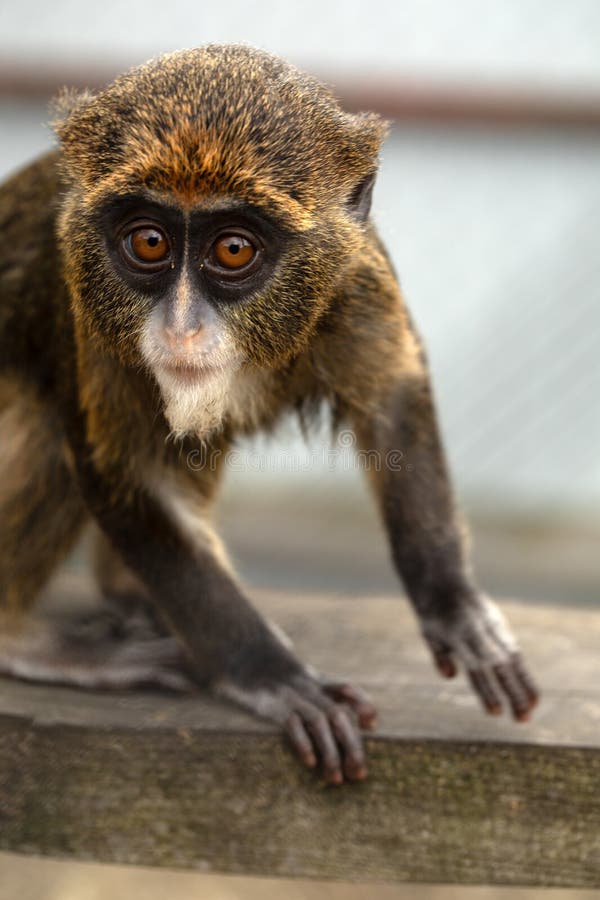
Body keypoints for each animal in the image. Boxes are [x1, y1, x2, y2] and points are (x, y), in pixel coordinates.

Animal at [0, 44, 538, 785]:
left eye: (233, 249)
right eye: (148, 243)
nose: (181, 328)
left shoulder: (356, 271)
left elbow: (392, 397)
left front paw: (451, 601)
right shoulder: (80, 299)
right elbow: (124, 474)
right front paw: (274, 677)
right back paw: (22, 638)